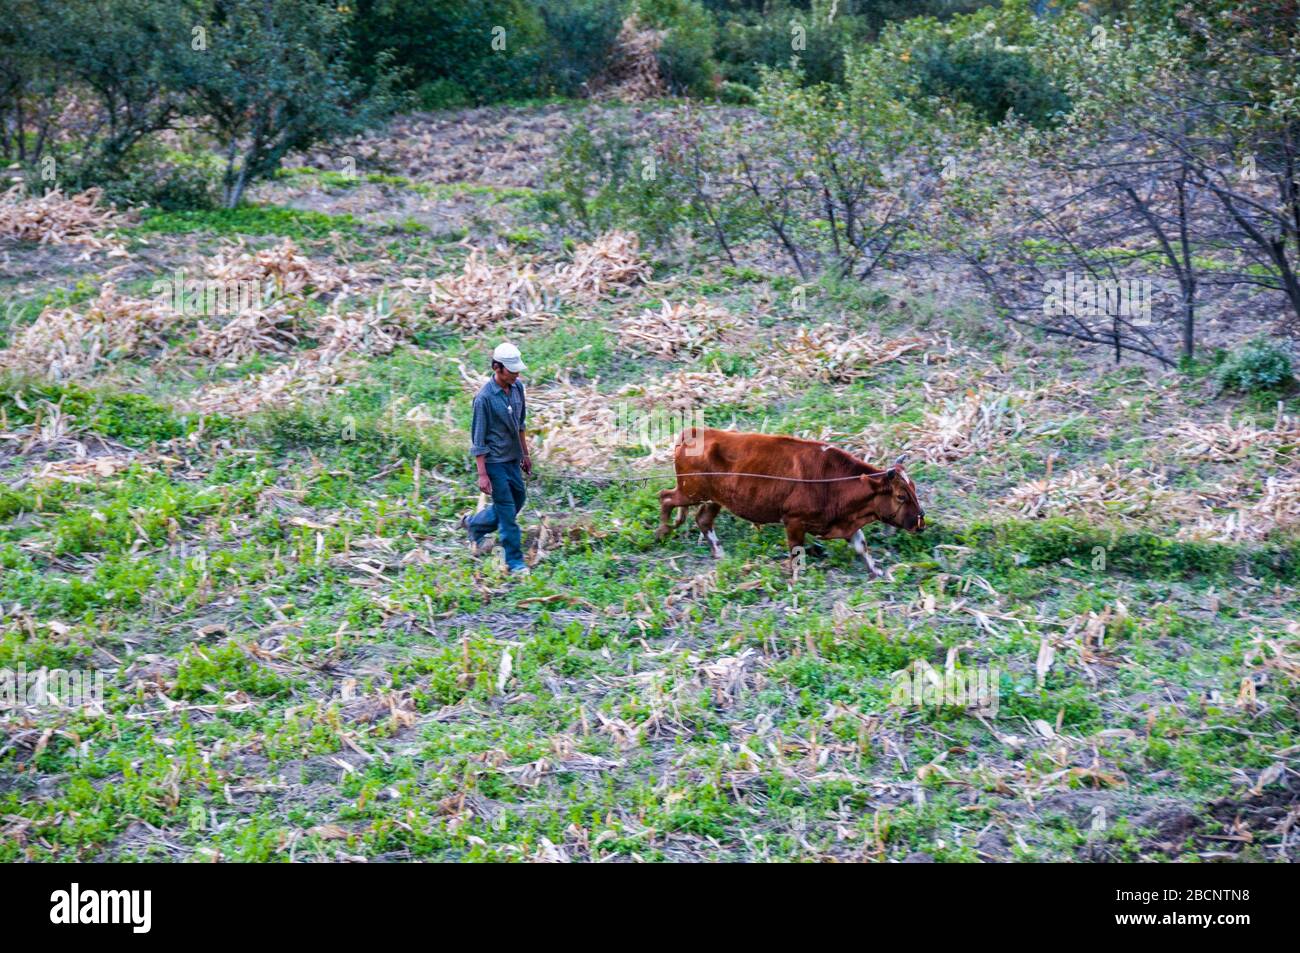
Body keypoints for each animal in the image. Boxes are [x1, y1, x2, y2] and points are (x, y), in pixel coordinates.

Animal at [656, 428, 925, 574]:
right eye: (901, 496)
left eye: (913, 488)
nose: (921, 522)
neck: (830, 480)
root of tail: (694, 432)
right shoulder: (793, 520)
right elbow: (796, 552)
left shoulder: (846, 522)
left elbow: (861, 545)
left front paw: (876, 570)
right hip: (691, 491)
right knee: (665, 498)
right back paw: (661, 533)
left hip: (714, 499)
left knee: (703, 519)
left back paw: (719, 553)